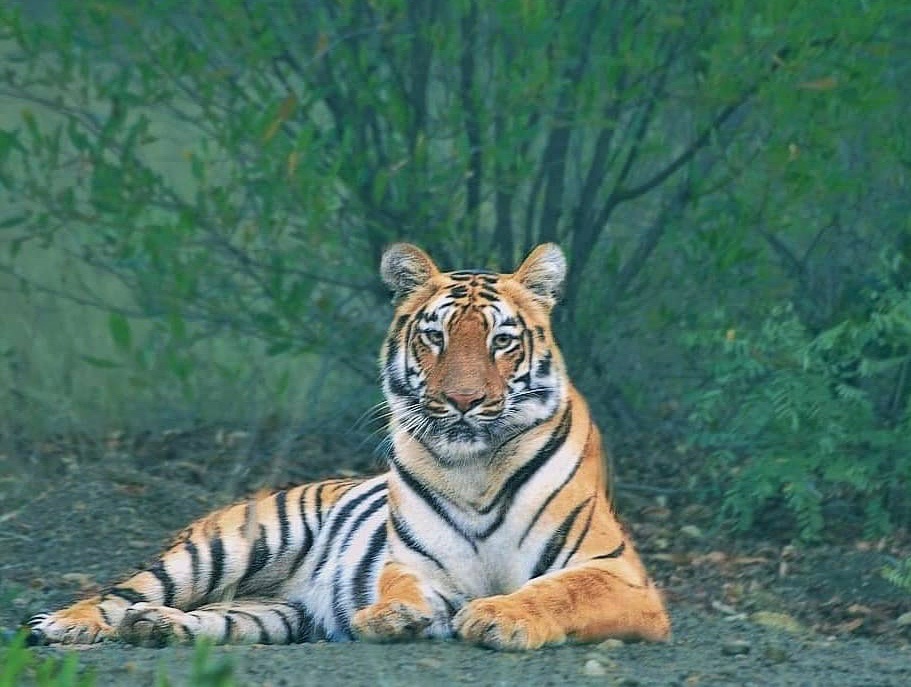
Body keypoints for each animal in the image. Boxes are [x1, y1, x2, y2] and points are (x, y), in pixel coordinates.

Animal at [26, 242, 670, 650]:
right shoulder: (415, 563)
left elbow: (558, 592)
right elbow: (400, 584)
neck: (474, 468)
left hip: (271, 614)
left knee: (206, 619)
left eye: (502, 341)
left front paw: (497, 617)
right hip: (225, 547)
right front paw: (394, 615)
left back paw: (155, 627)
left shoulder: (619, 575)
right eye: (435, 336)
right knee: (123, 590)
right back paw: (67, 625)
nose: (463, 400)